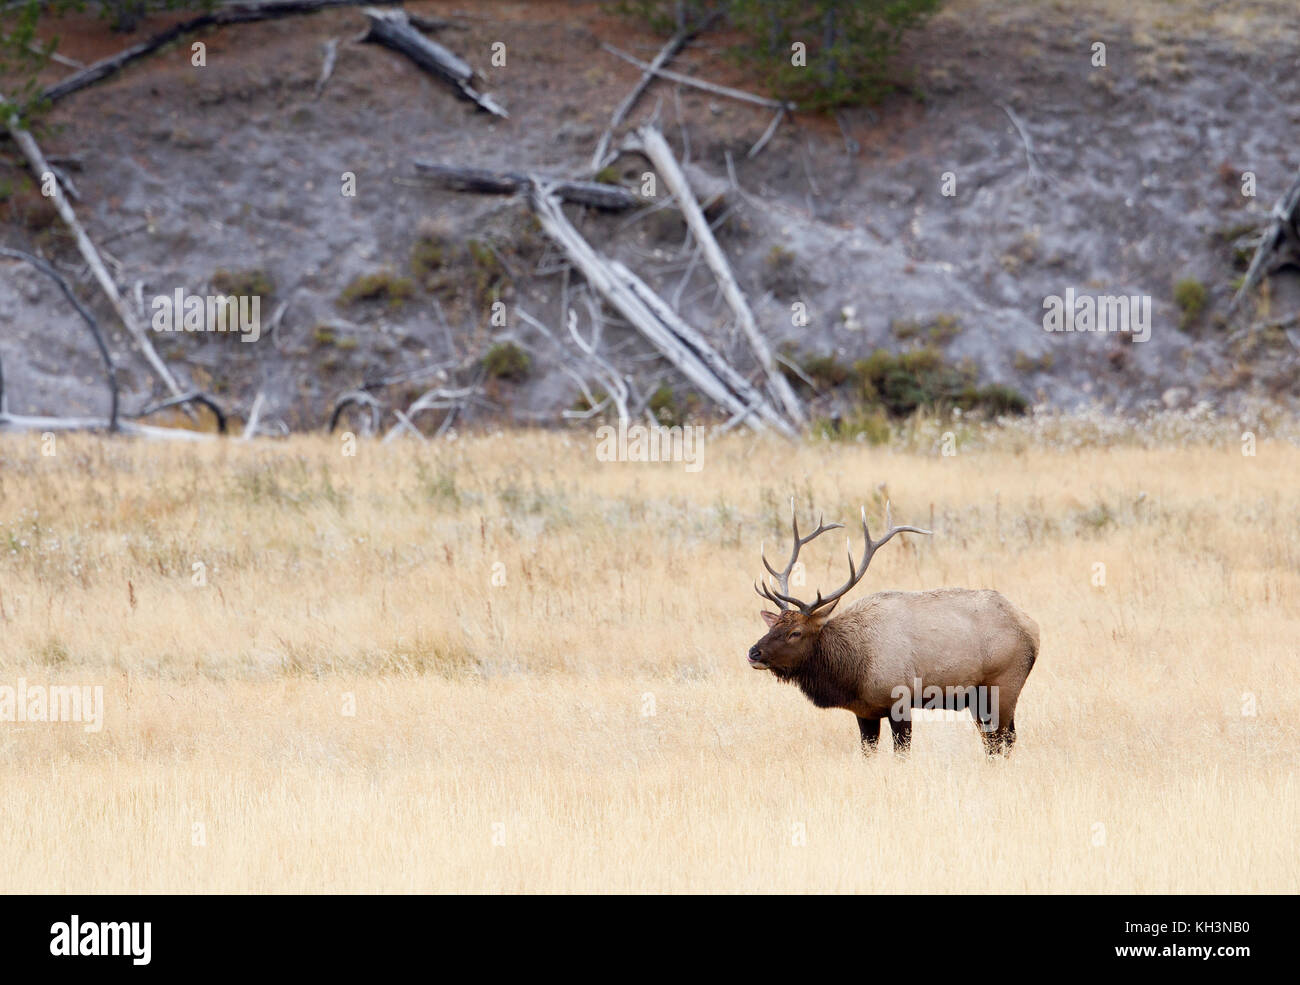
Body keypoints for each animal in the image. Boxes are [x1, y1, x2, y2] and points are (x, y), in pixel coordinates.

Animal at [747, 501, 1039, 757]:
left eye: (795, 632)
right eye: (773, 624)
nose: (753, 652)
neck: (854, 670)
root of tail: (1033, 628)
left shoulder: (900, 698)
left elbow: (902, 753)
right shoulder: (864, 711)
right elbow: (868, 753)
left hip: (1003, 685)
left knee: (1004, 738)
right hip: (979, 697)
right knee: (994, 740)